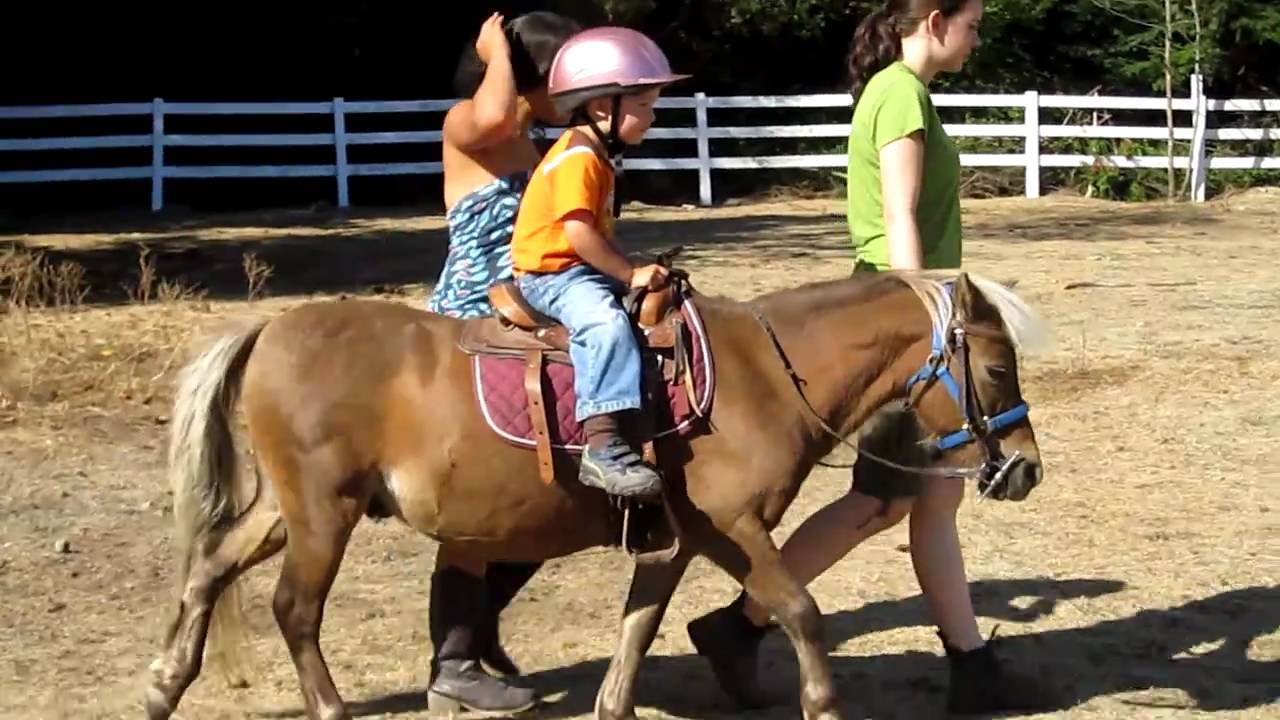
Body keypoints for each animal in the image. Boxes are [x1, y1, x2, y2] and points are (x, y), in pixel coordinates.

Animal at [143, 268, 1049, 720]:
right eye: (997, 367)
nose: (1026, 469)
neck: (760, 376)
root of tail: (270, 327)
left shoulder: (677, 539)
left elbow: (637, 630)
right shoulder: (734, 528)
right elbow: (799, 610)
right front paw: (821, 705)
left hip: (283, 510)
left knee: (211, 565)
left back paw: (164, 686)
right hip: (321, 516)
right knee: (294, 610)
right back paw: (327, 708)